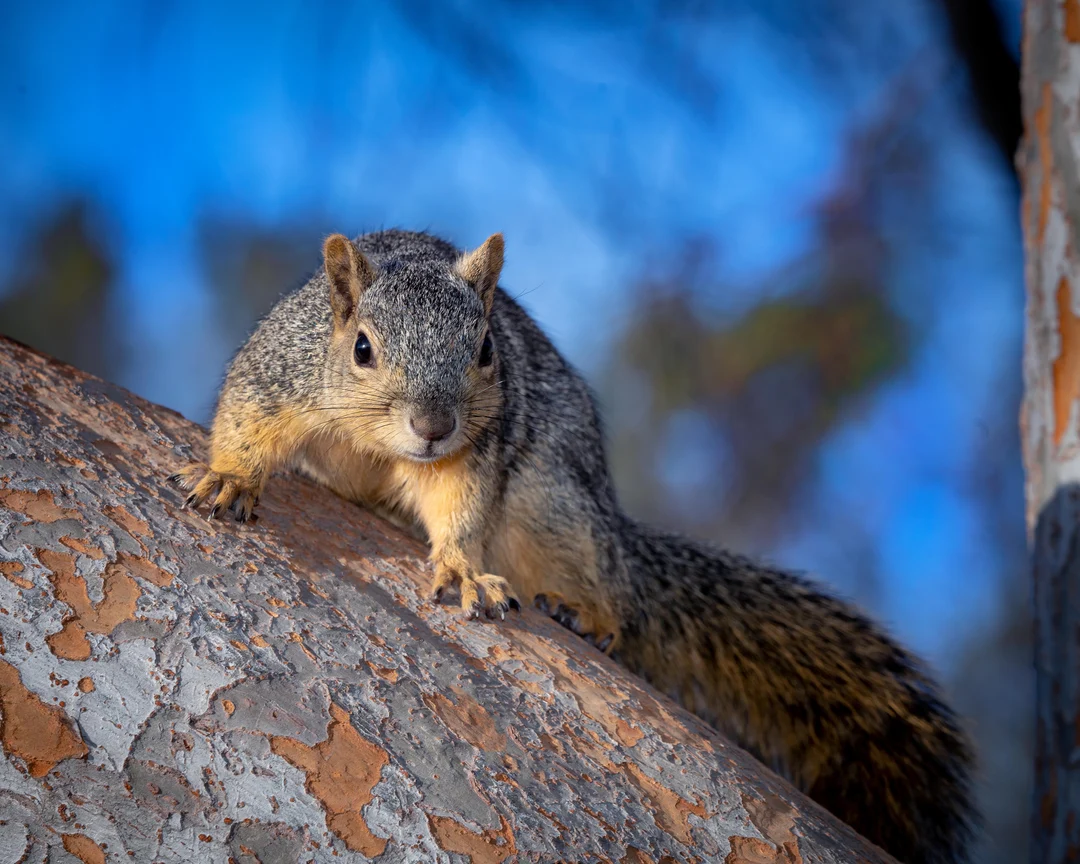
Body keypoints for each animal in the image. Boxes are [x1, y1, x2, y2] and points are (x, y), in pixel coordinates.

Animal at [169, 228, 976, 864]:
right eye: (362, 348)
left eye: (486, 351)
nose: (434, 425)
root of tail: (617, 533)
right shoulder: (280, 371)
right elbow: (245, 422)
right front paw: (228, 477)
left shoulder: (478, 451)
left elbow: (460, 509)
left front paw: (462, 567)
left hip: (554, 506)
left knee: (611, 590)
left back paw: (588, 613)